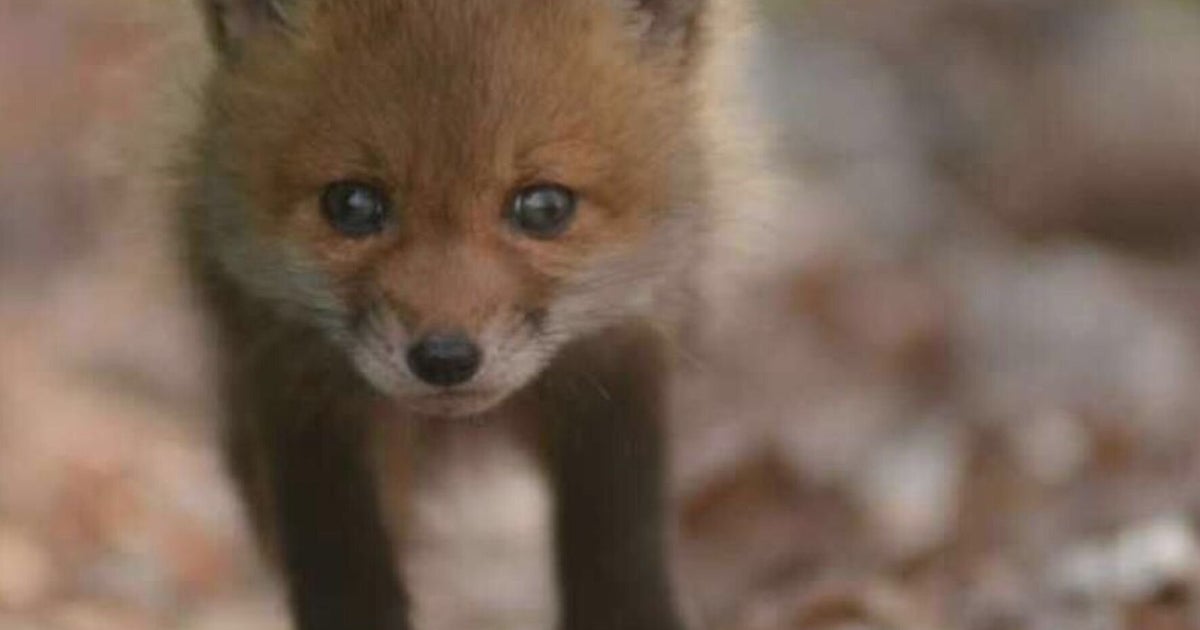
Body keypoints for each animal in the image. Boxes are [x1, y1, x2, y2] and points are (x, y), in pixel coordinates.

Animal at [181, 0, 765, 628]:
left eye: (544, 207)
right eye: (353, 204)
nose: (445, 359)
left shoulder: (619, 360)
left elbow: (621, 555)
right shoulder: (297, 377)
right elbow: (343, 571)